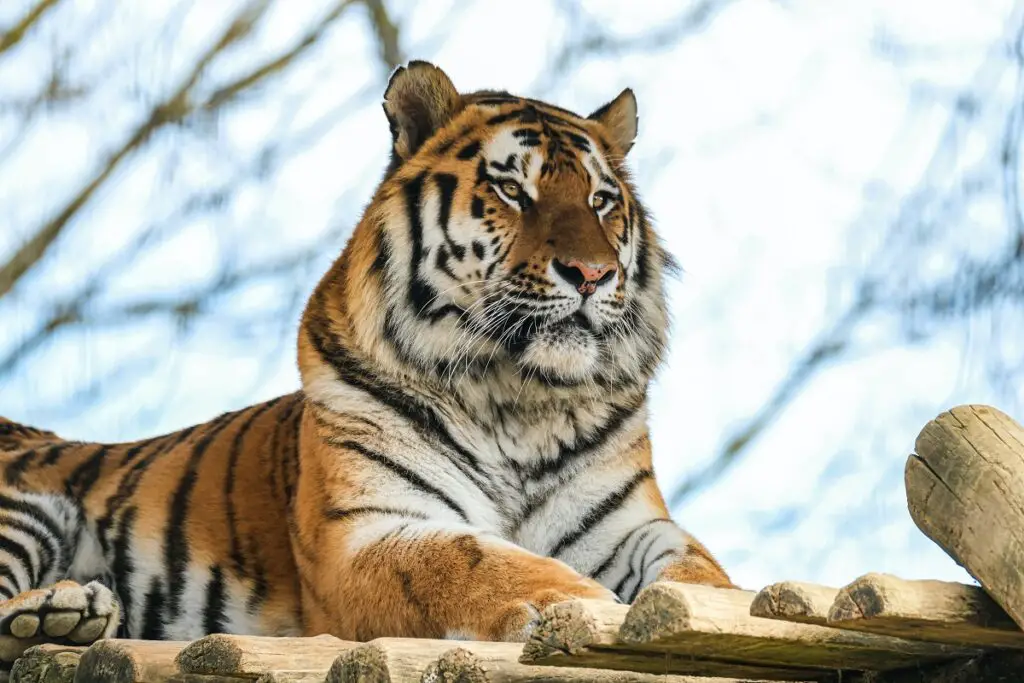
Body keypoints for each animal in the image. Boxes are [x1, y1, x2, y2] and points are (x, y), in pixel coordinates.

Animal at [0, 60, 734, 665]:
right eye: (511, 191)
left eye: (600, 200)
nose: (592, 274)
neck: (516, 398)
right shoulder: (361, 531)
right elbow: (466, 556)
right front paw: (569, 602)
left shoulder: (629, 525)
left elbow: (698, 571)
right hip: (33, 511)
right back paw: (59, 609)